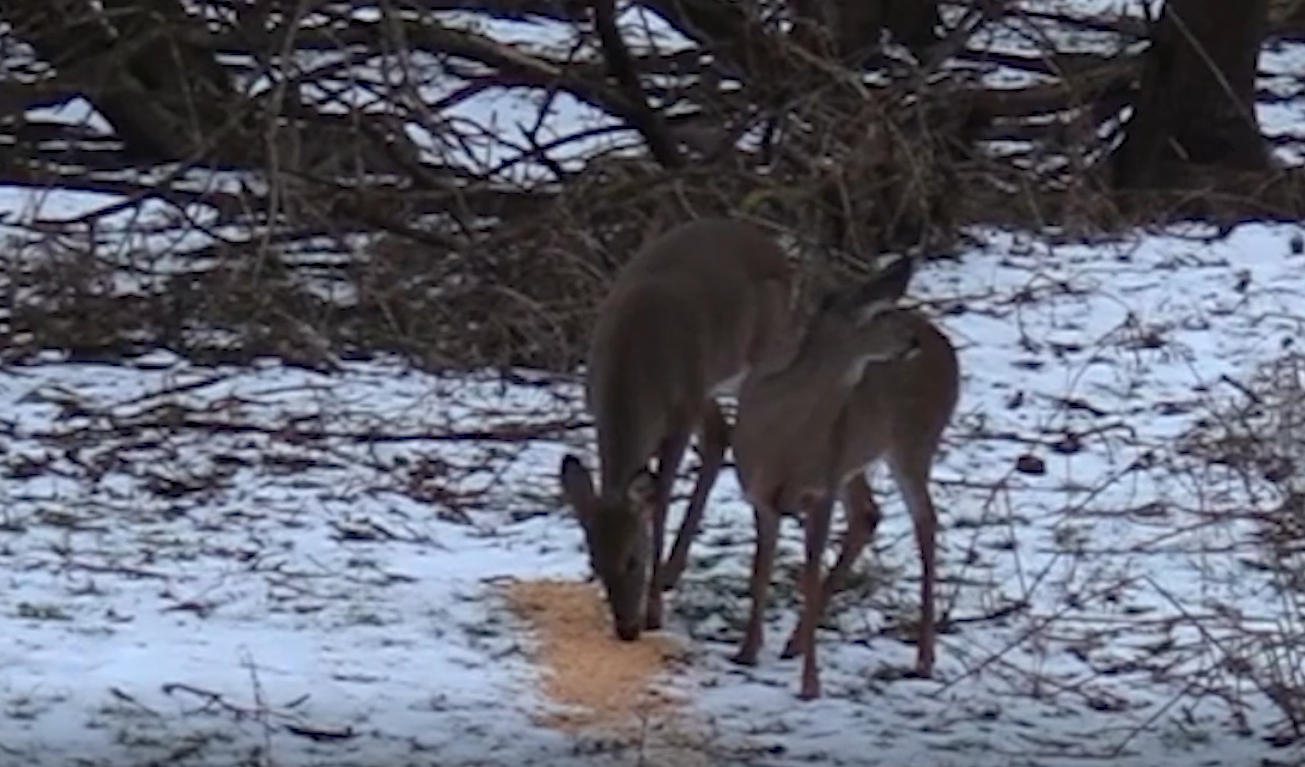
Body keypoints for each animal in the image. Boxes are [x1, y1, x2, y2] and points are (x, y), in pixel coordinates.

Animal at [558, 217, 797, 643]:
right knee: (720, 435)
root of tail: (775, 248)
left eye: (632, 559)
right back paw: (673, 572)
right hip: (707, 384)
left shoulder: (680, 417)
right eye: (595, 564)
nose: (626, 629)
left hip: (756, 357)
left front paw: (654, 612)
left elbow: (661, 504)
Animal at [729, 255, 960, 700]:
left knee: (925, 521)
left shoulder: (821, 490)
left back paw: (924, 658)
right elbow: (760, 569)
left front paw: (810, 685)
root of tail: (946, 345)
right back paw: (795, 642)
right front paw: (746, 652)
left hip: (913, 442)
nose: (910, 343)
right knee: (868, 514)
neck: (782, 441)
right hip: (855, 459)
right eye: (878, 313)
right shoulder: (761, 494)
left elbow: (809, 576)